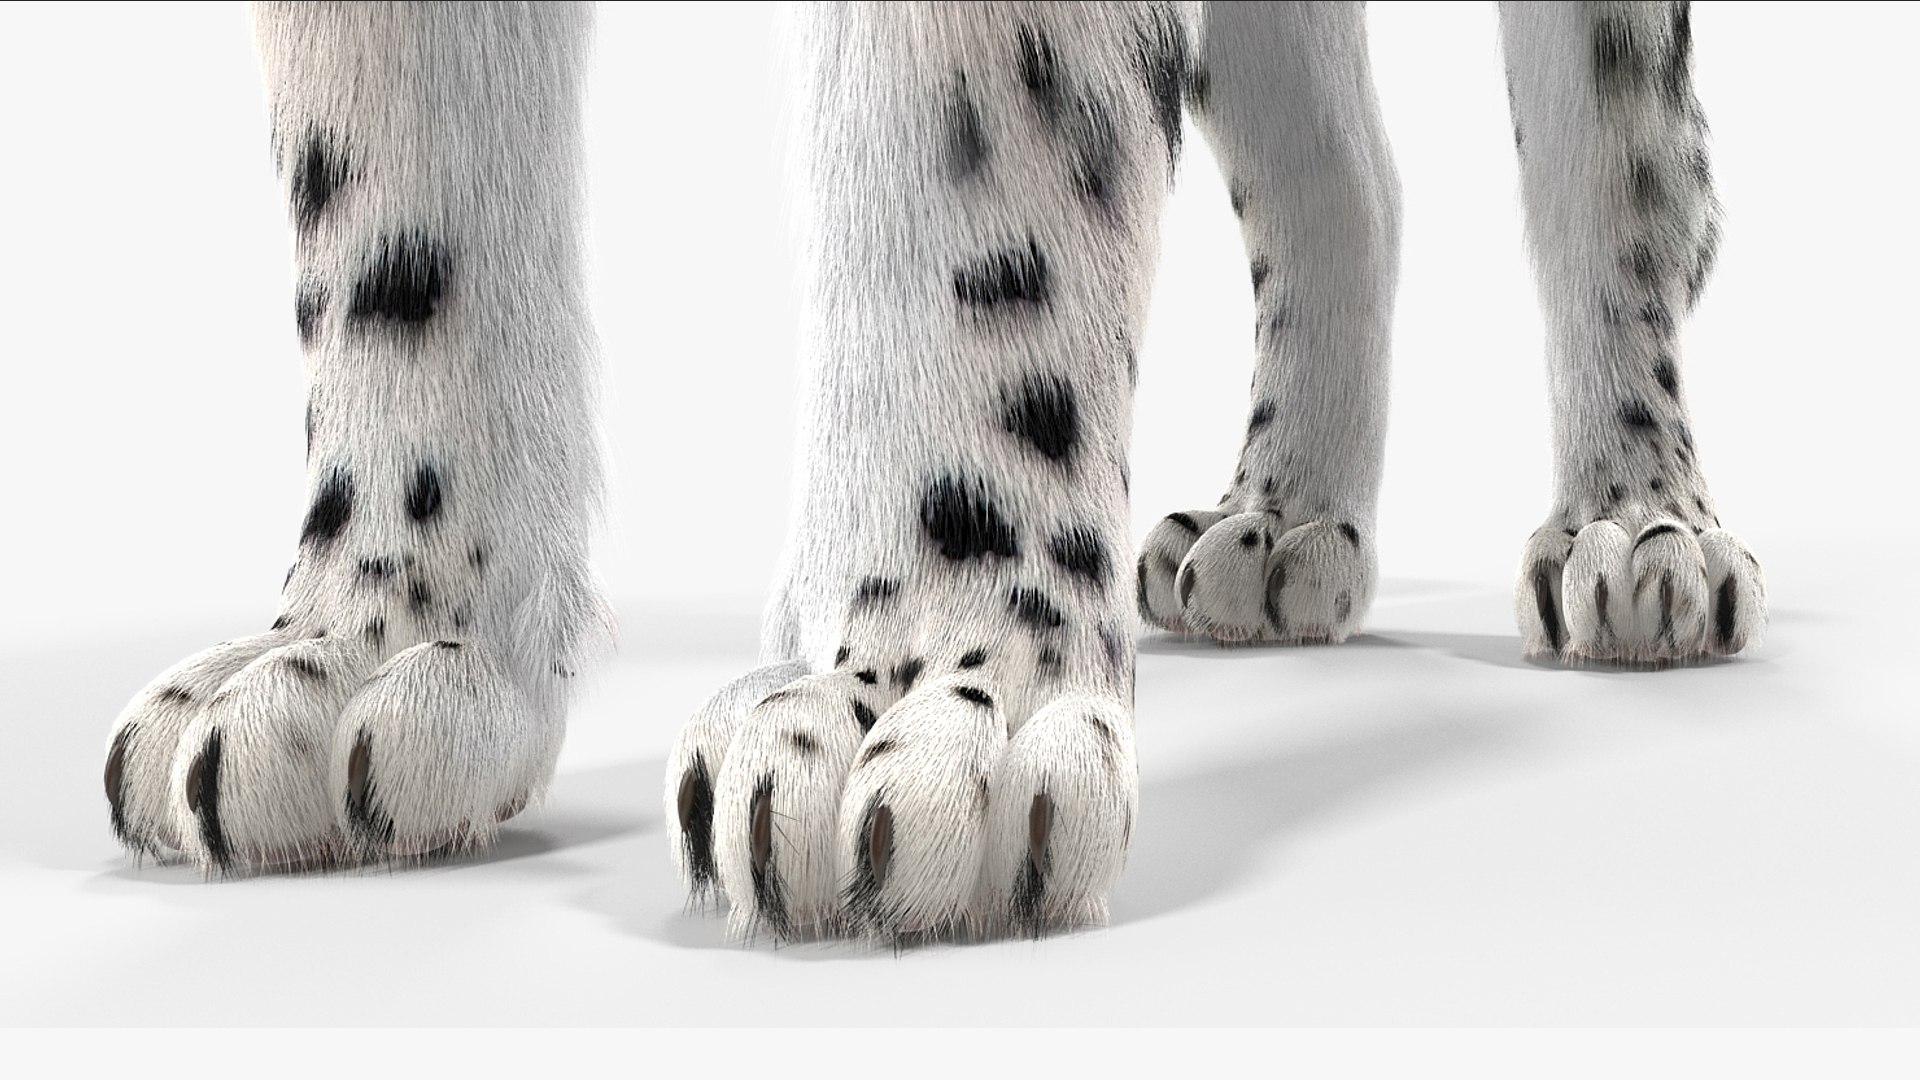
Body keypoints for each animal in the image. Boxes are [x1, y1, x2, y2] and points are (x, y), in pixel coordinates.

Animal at [101, 2, 1765, 946]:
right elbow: (389, 199)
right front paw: (371, 646)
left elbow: (975, 153)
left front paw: (926, 699)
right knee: (1342, 164)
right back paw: (1282, 520)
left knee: (1626, 152)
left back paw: (1639, 528)